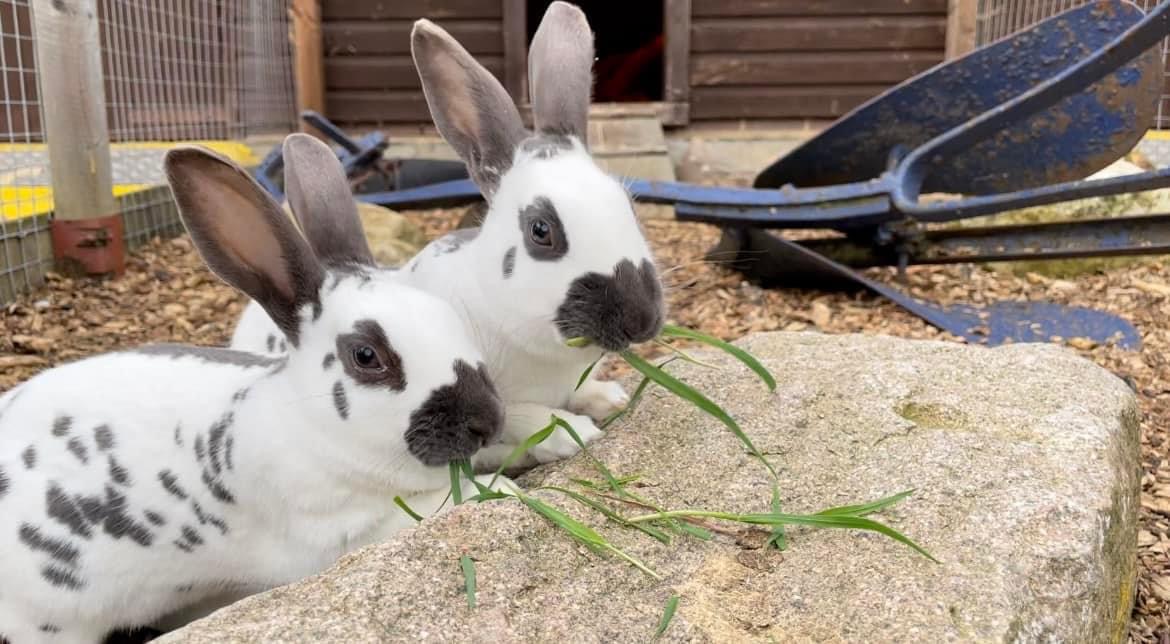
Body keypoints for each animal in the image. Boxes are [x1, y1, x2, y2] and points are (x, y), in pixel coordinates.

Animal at [228, 2, 666, 471]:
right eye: (541, 230)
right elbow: (521, 416)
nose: (641, 319)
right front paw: (572, 433)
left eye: (629, 204)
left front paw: (609, 398)